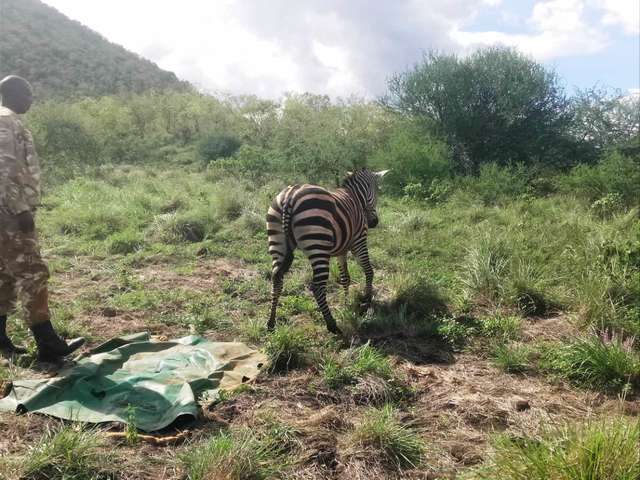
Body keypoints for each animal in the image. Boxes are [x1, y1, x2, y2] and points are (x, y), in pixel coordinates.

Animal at [266, 169, 389, 334]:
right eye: (377, 191)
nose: (373, 222)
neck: (355, 196)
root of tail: (290, 197)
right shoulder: (359, 242)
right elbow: (368, 270)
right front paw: (367, 299)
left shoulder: (341, 250)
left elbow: (345, 278)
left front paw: (347, 304)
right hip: (318, 244)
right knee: (317, 287)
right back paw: (332, 324)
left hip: (277, 242)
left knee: (277, 280)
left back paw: (271, 322)